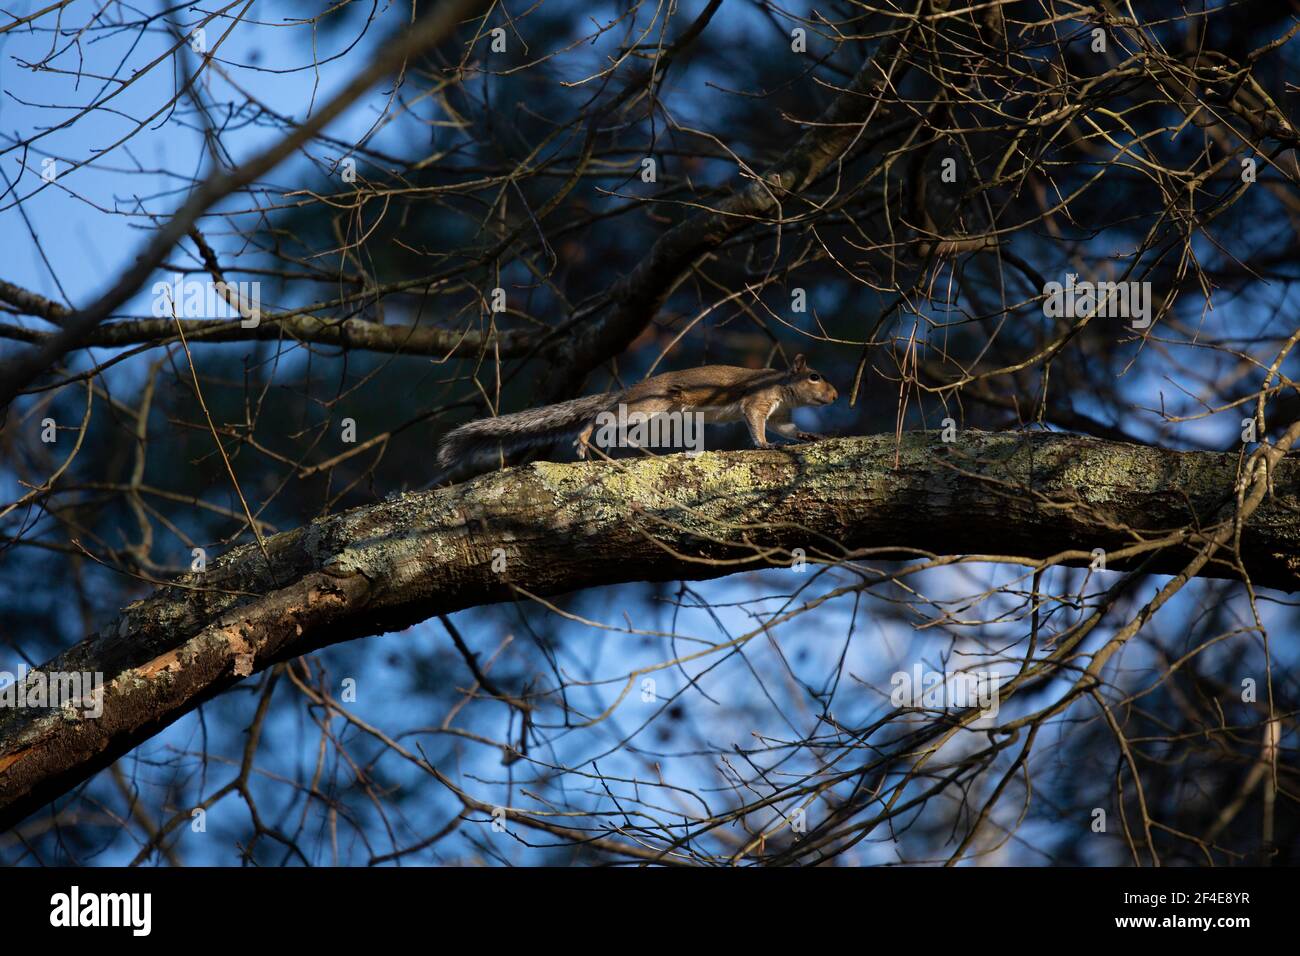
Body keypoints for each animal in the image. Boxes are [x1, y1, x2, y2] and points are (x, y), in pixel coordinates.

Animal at [436, 354, 838, 477]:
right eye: (815, 376)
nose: (835, 396)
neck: (783, 387)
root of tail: (629, 389)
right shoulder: (757, 401)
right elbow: (757, 424)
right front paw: (763, 445)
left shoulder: (780, 414)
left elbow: (788, 427)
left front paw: (809, 436)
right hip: (650, 406)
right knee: (602, 419)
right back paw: (584, 438)